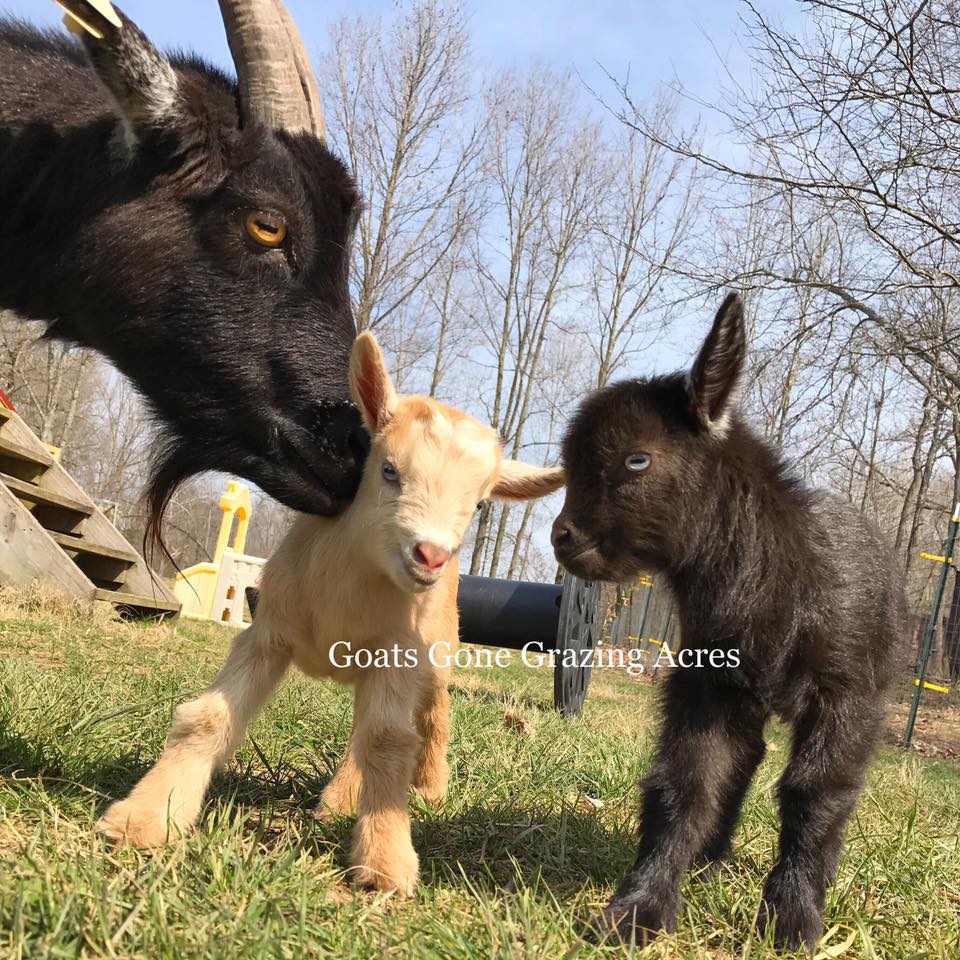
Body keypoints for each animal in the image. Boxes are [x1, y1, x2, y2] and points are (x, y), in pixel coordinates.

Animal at [98, 331, 564, 893]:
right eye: (389, 470)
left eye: (477, 505)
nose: (430, 555)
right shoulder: (267, 631)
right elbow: (208, 717)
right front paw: (145, 818)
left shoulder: (398, 652)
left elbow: (388, 741)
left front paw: (385, 864)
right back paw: (339, 799)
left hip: (436, 651)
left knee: (432, 712)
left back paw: (426, 788)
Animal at [551, 294, 905, 951]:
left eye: (637, 459)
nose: (563, 539)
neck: (781, 575)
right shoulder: (705, 682)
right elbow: (685, 784)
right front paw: (639, 909)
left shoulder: (850, 696)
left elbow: (817, 792)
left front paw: (794, 921)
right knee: (745, 760)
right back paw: (708, 860)